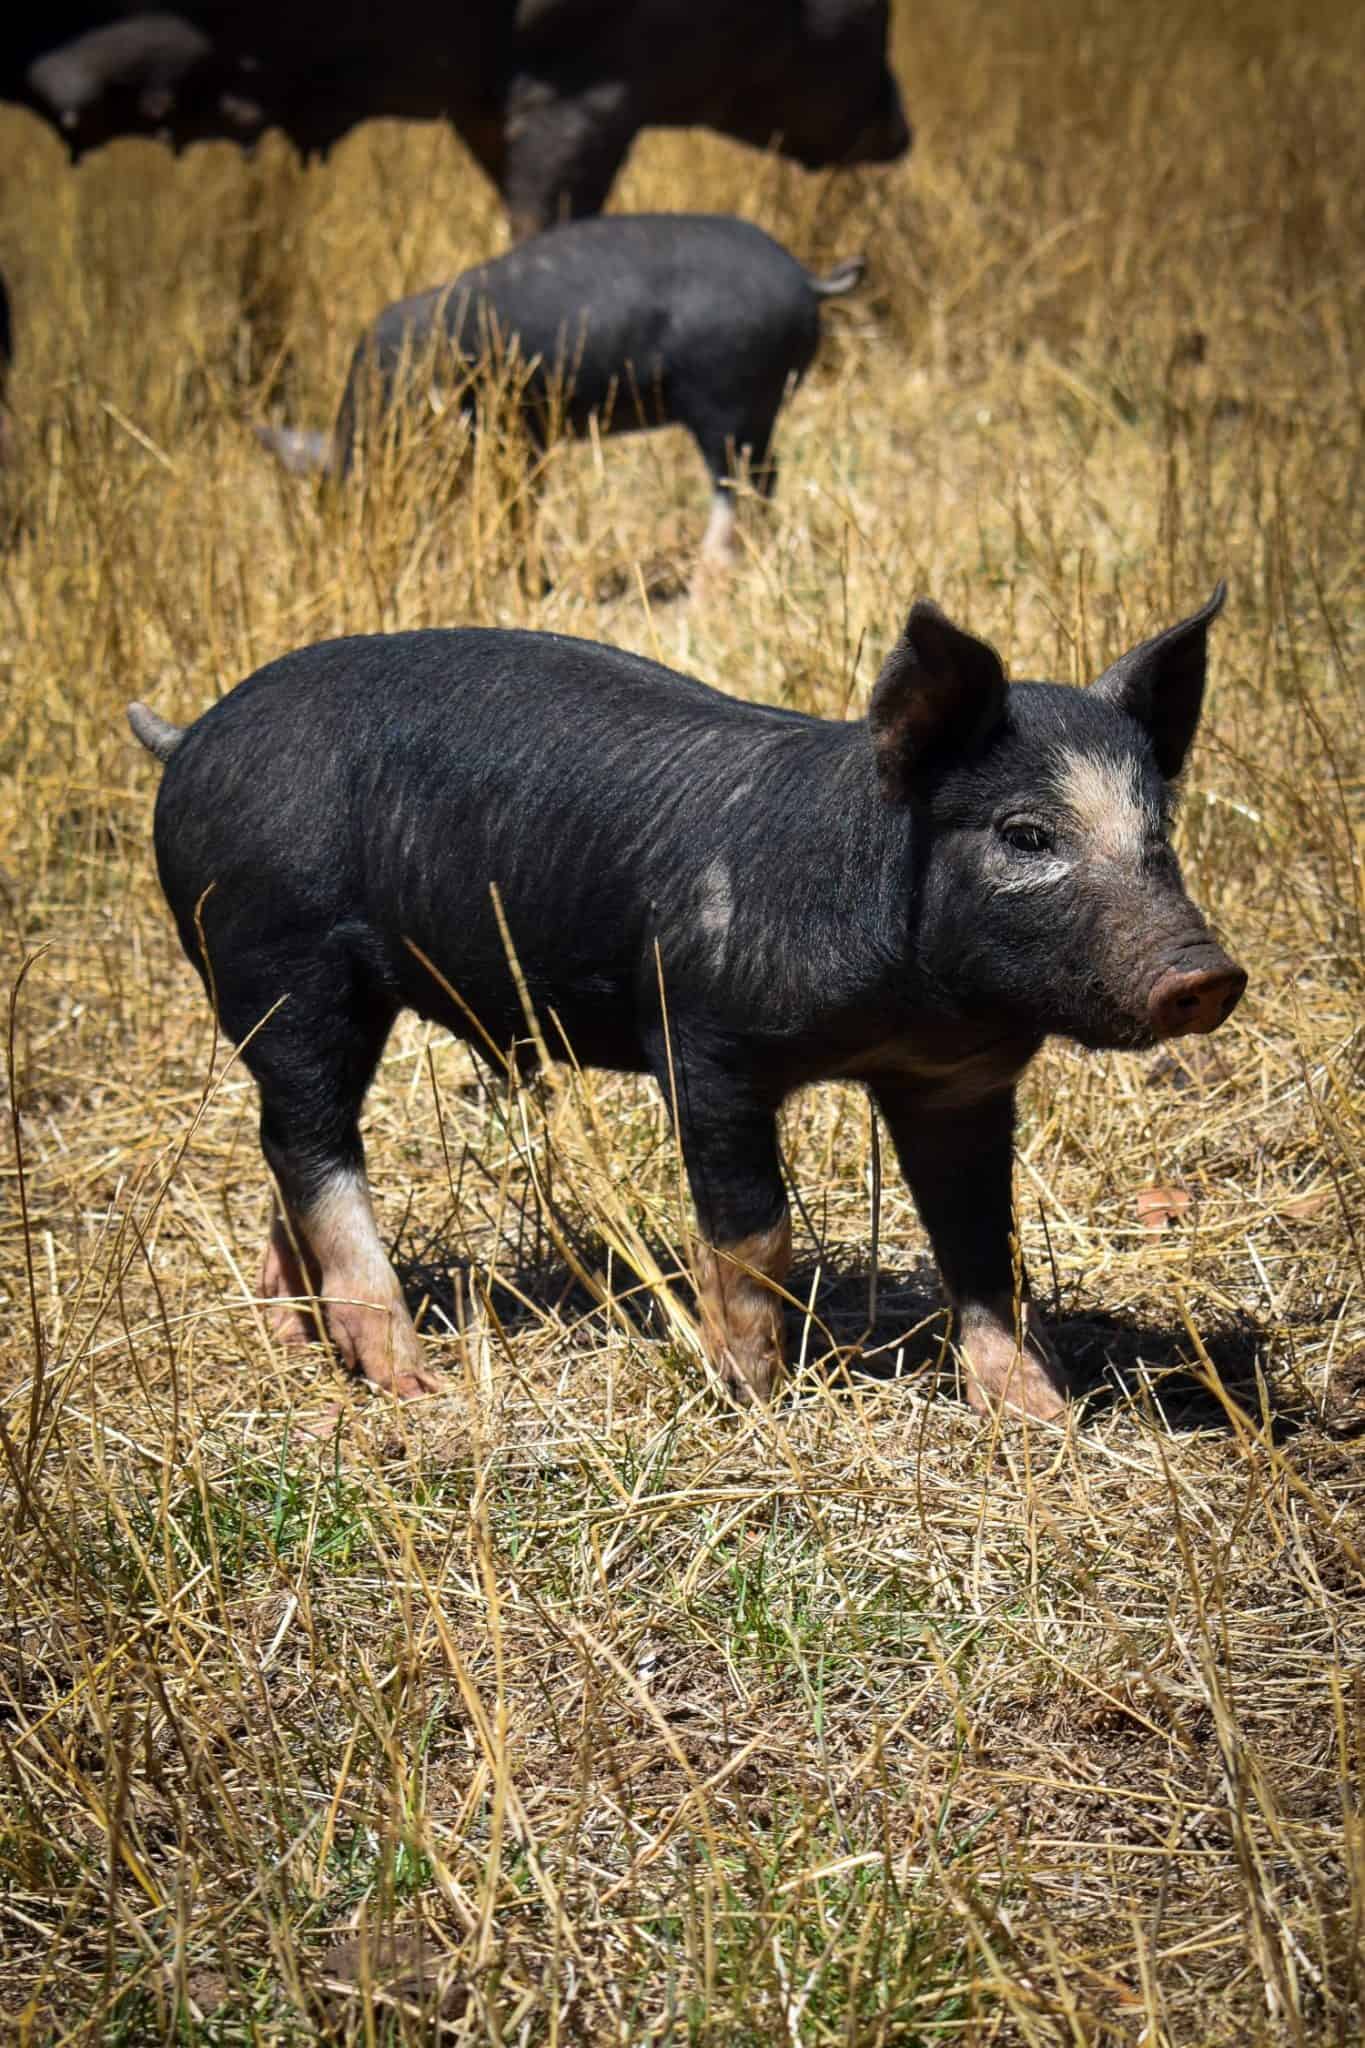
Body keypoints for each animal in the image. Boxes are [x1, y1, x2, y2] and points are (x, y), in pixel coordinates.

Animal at [127, 585, 1246, 1420]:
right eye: (1024, 834)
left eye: (1158, 830)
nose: (1205, 974)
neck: (902, 1013)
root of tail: (192, 735)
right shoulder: (704, 1040)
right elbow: (755, 1234)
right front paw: (751, 1394)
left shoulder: (956, 1081)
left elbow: (983, 1242)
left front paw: (1038, 1418)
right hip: (279, 958)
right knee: (311, 1138)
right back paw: (412, 1379)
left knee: (289, 1142)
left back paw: (295, 1336)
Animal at [254, 214, 867, 560]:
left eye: (341, 492)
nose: (337, 552)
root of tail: (805, 276)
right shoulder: (525, 436)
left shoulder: (509, 429)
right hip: (757, 403)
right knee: (767, 475)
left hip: (727, 398)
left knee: (738, 480)